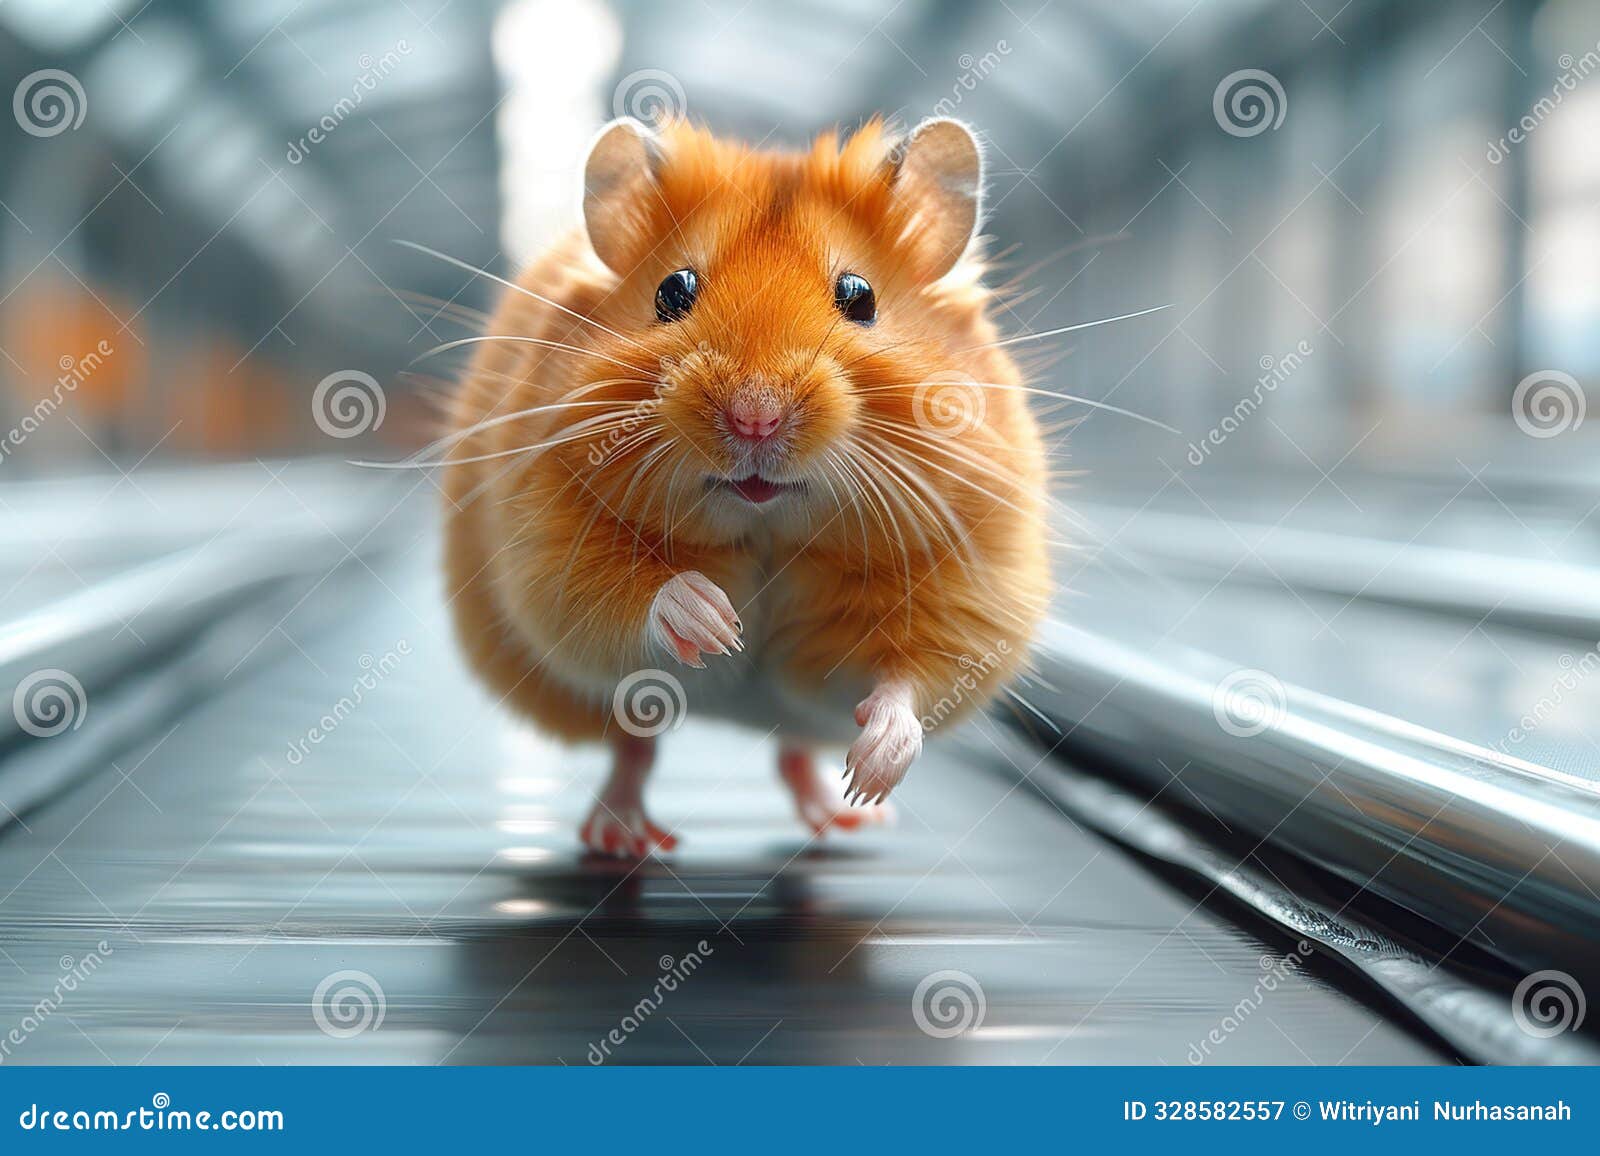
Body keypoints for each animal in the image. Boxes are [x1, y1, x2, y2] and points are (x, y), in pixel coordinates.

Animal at [440, 116, 1050, 857]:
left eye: (860, 296)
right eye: (672, 291)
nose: (755, 417)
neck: (765, 526)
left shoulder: (966, 587)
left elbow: (910, 676)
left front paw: (872, 777)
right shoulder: (546, 541)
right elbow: (625, 589)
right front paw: (717, 626)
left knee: (792, 751)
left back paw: (848, 817)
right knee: (635, 751)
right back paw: (622, 838)